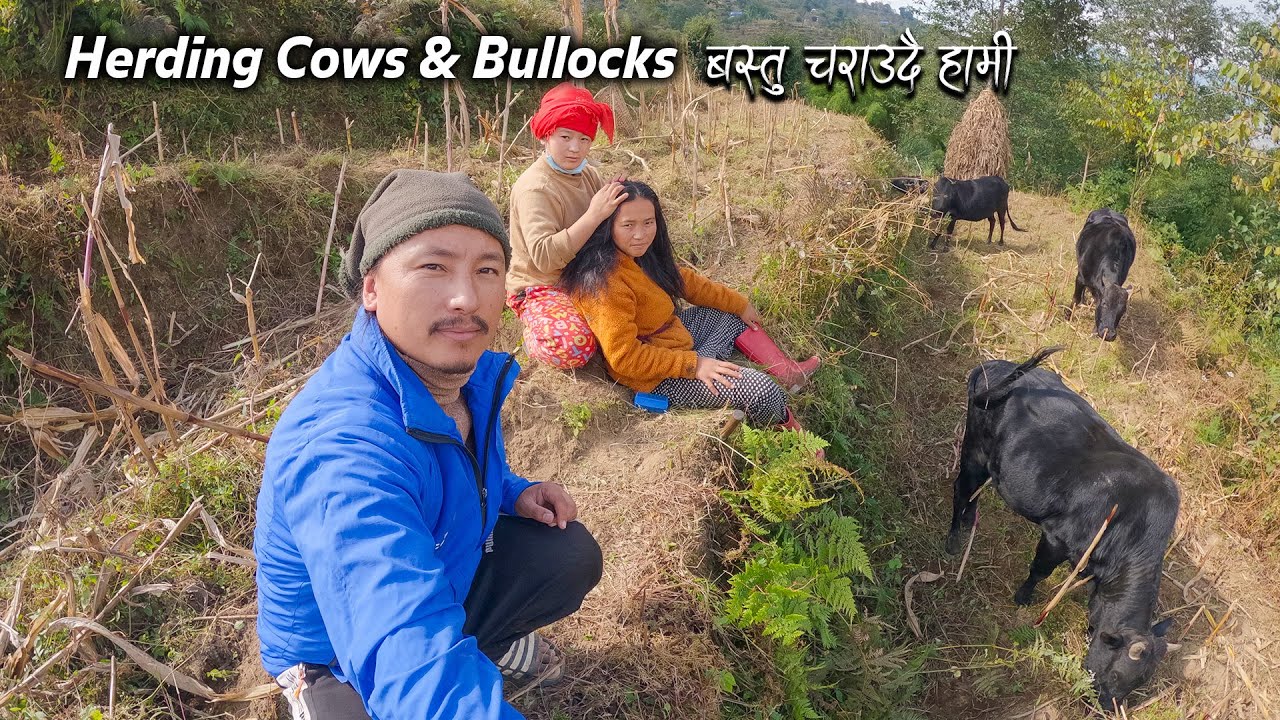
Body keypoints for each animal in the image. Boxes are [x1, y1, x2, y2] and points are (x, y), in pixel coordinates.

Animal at [945, 346, 1180, 710]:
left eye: (1138, 685)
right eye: (1118, 675)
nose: (1107, 708)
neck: (1136, 525)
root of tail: (995, 366)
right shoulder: (1057, 537)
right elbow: (1039, 571)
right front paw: (1023, 598)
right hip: (975, 450)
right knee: (961, 489)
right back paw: (954, 540)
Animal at [1069, 209, 1136, 342]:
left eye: (1123, 310)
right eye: (1105, 303)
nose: (1109, 334)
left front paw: (1094, 332)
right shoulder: (1080, 278)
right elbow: (1075, 299)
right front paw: (1067, 316)